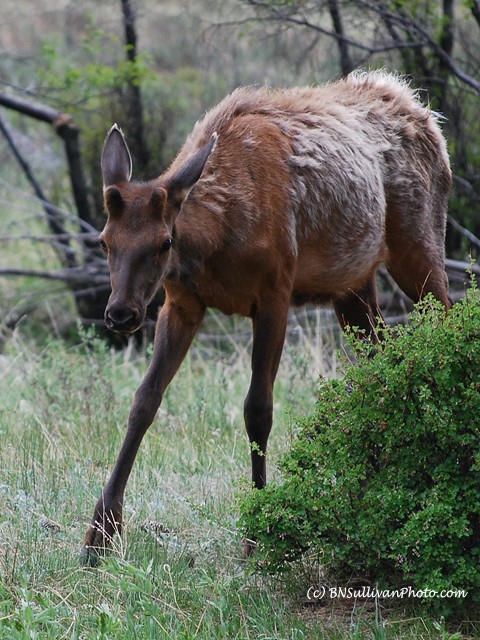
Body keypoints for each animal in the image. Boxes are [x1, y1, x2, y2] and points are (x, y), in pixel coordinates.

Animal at [81, 70, 452, 565]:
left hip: (421, 245)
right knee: (382, 357)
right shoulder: (181, 303)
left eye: (164, 242)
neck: (216, 244)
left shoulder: (275, 292)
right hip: (353, 283)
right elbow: (144, 401)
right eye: (104, 240)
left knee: (444, 325)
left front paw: (258, 531)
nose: (120, 313)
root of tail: (425, 113)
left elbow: (258, 408)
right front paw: (100, 533)